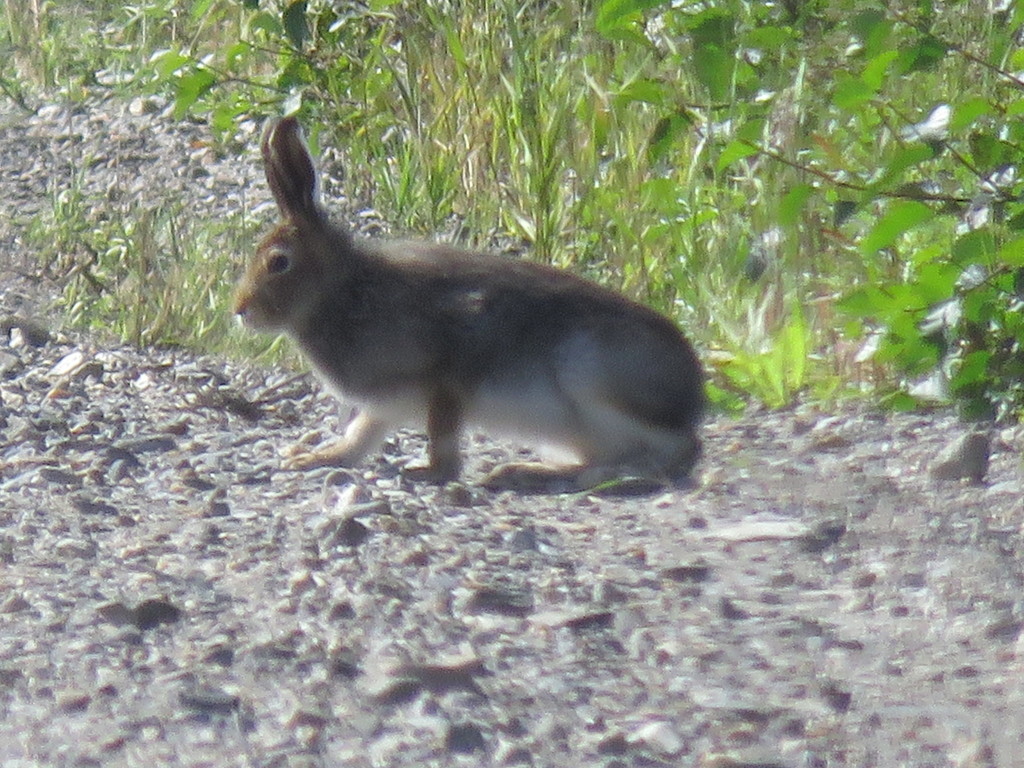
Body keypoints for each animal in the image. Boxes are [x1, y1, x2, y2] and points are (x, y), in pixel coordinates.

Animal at [233, 116, 705, 492]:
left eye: (279, 263)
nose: (241, 310)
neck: (341, 289)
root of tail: (691, 394)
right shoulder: (386, 404)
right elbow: (360, 437)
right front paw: (314, 459)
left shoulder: (445, 377)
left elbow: (441, 436)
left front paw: (430, 474)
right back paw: (525, 472)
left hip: (594, 378)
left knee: (677, 454)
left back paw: (599, 478)